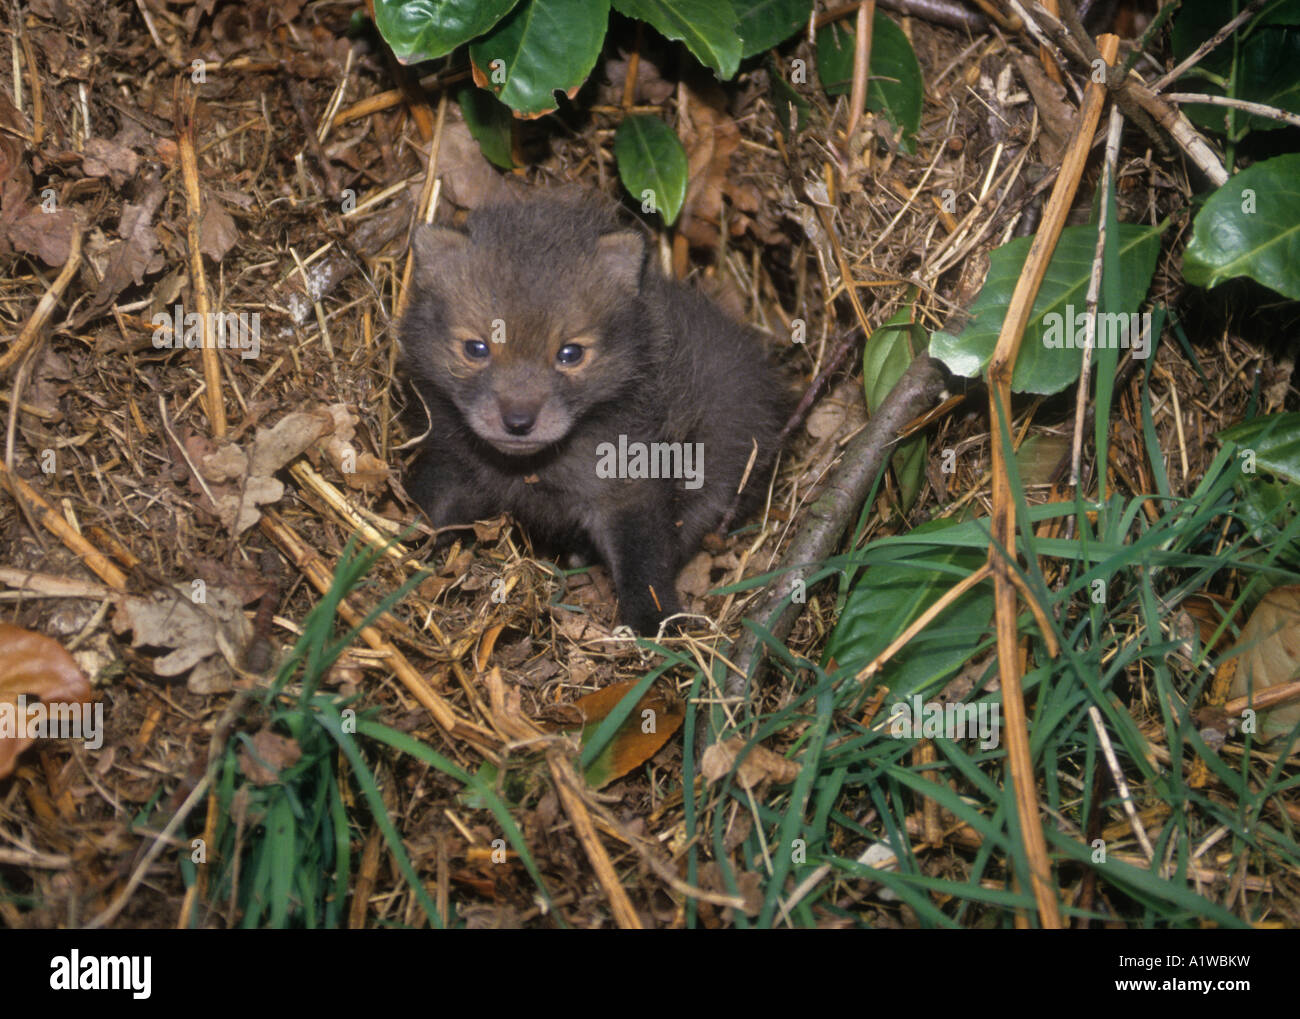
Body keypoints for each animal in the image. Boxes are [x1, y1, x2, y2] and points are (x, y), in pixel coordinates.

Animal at [397, 191, 787, 634]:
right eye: (476, 348)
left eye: (570, 354)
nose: (518, 422)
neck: (533, 470)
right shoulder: (454, 466)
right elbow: (430, 512)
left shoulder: (628, 488)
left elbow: (645, 566)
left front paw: (655, 625)